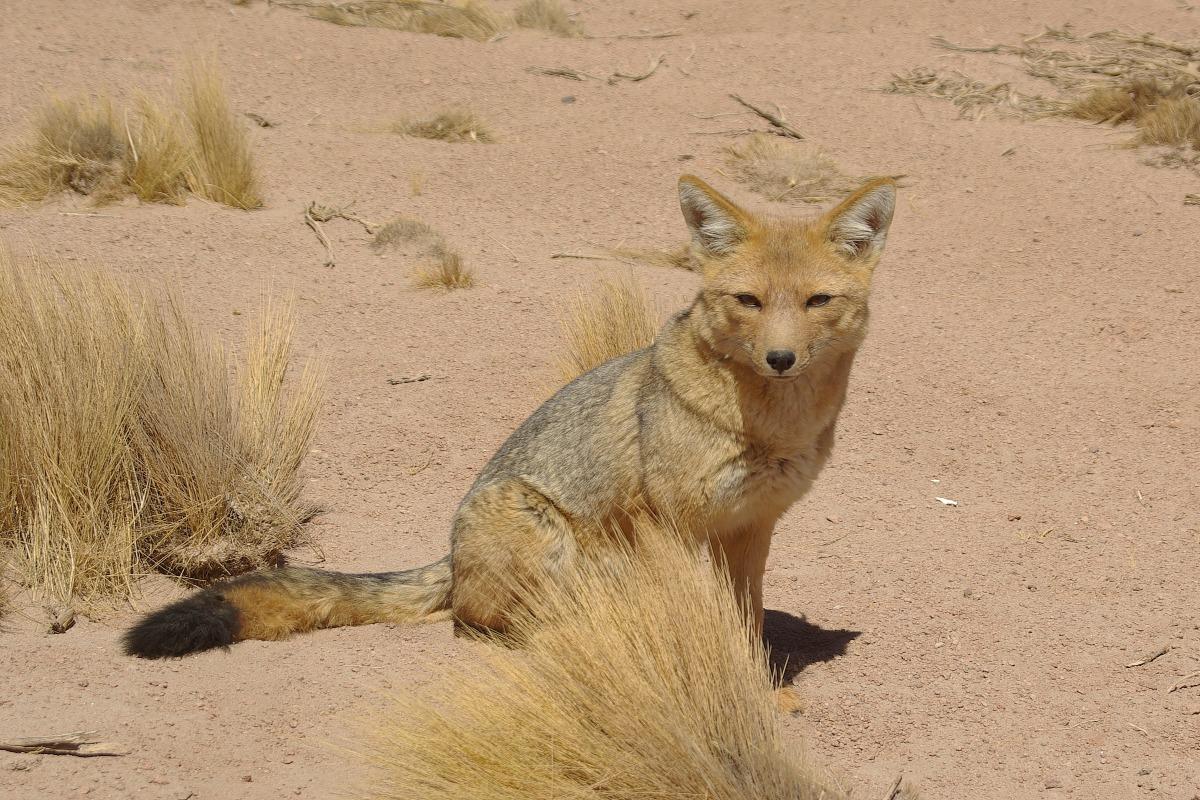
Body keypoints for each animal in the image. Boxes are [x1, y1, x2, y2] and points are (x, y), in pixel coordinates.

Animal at [123, 173, 896, 659]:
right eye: (748, 301)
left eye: (817, 302)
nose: (780, 359)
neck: (770, 426)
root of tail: (449, 551)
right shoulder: (675, 520)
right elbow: (698, 617)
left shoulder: (754, 524)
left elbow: (745, 616)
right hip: (535, 525)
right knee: (481, 625)